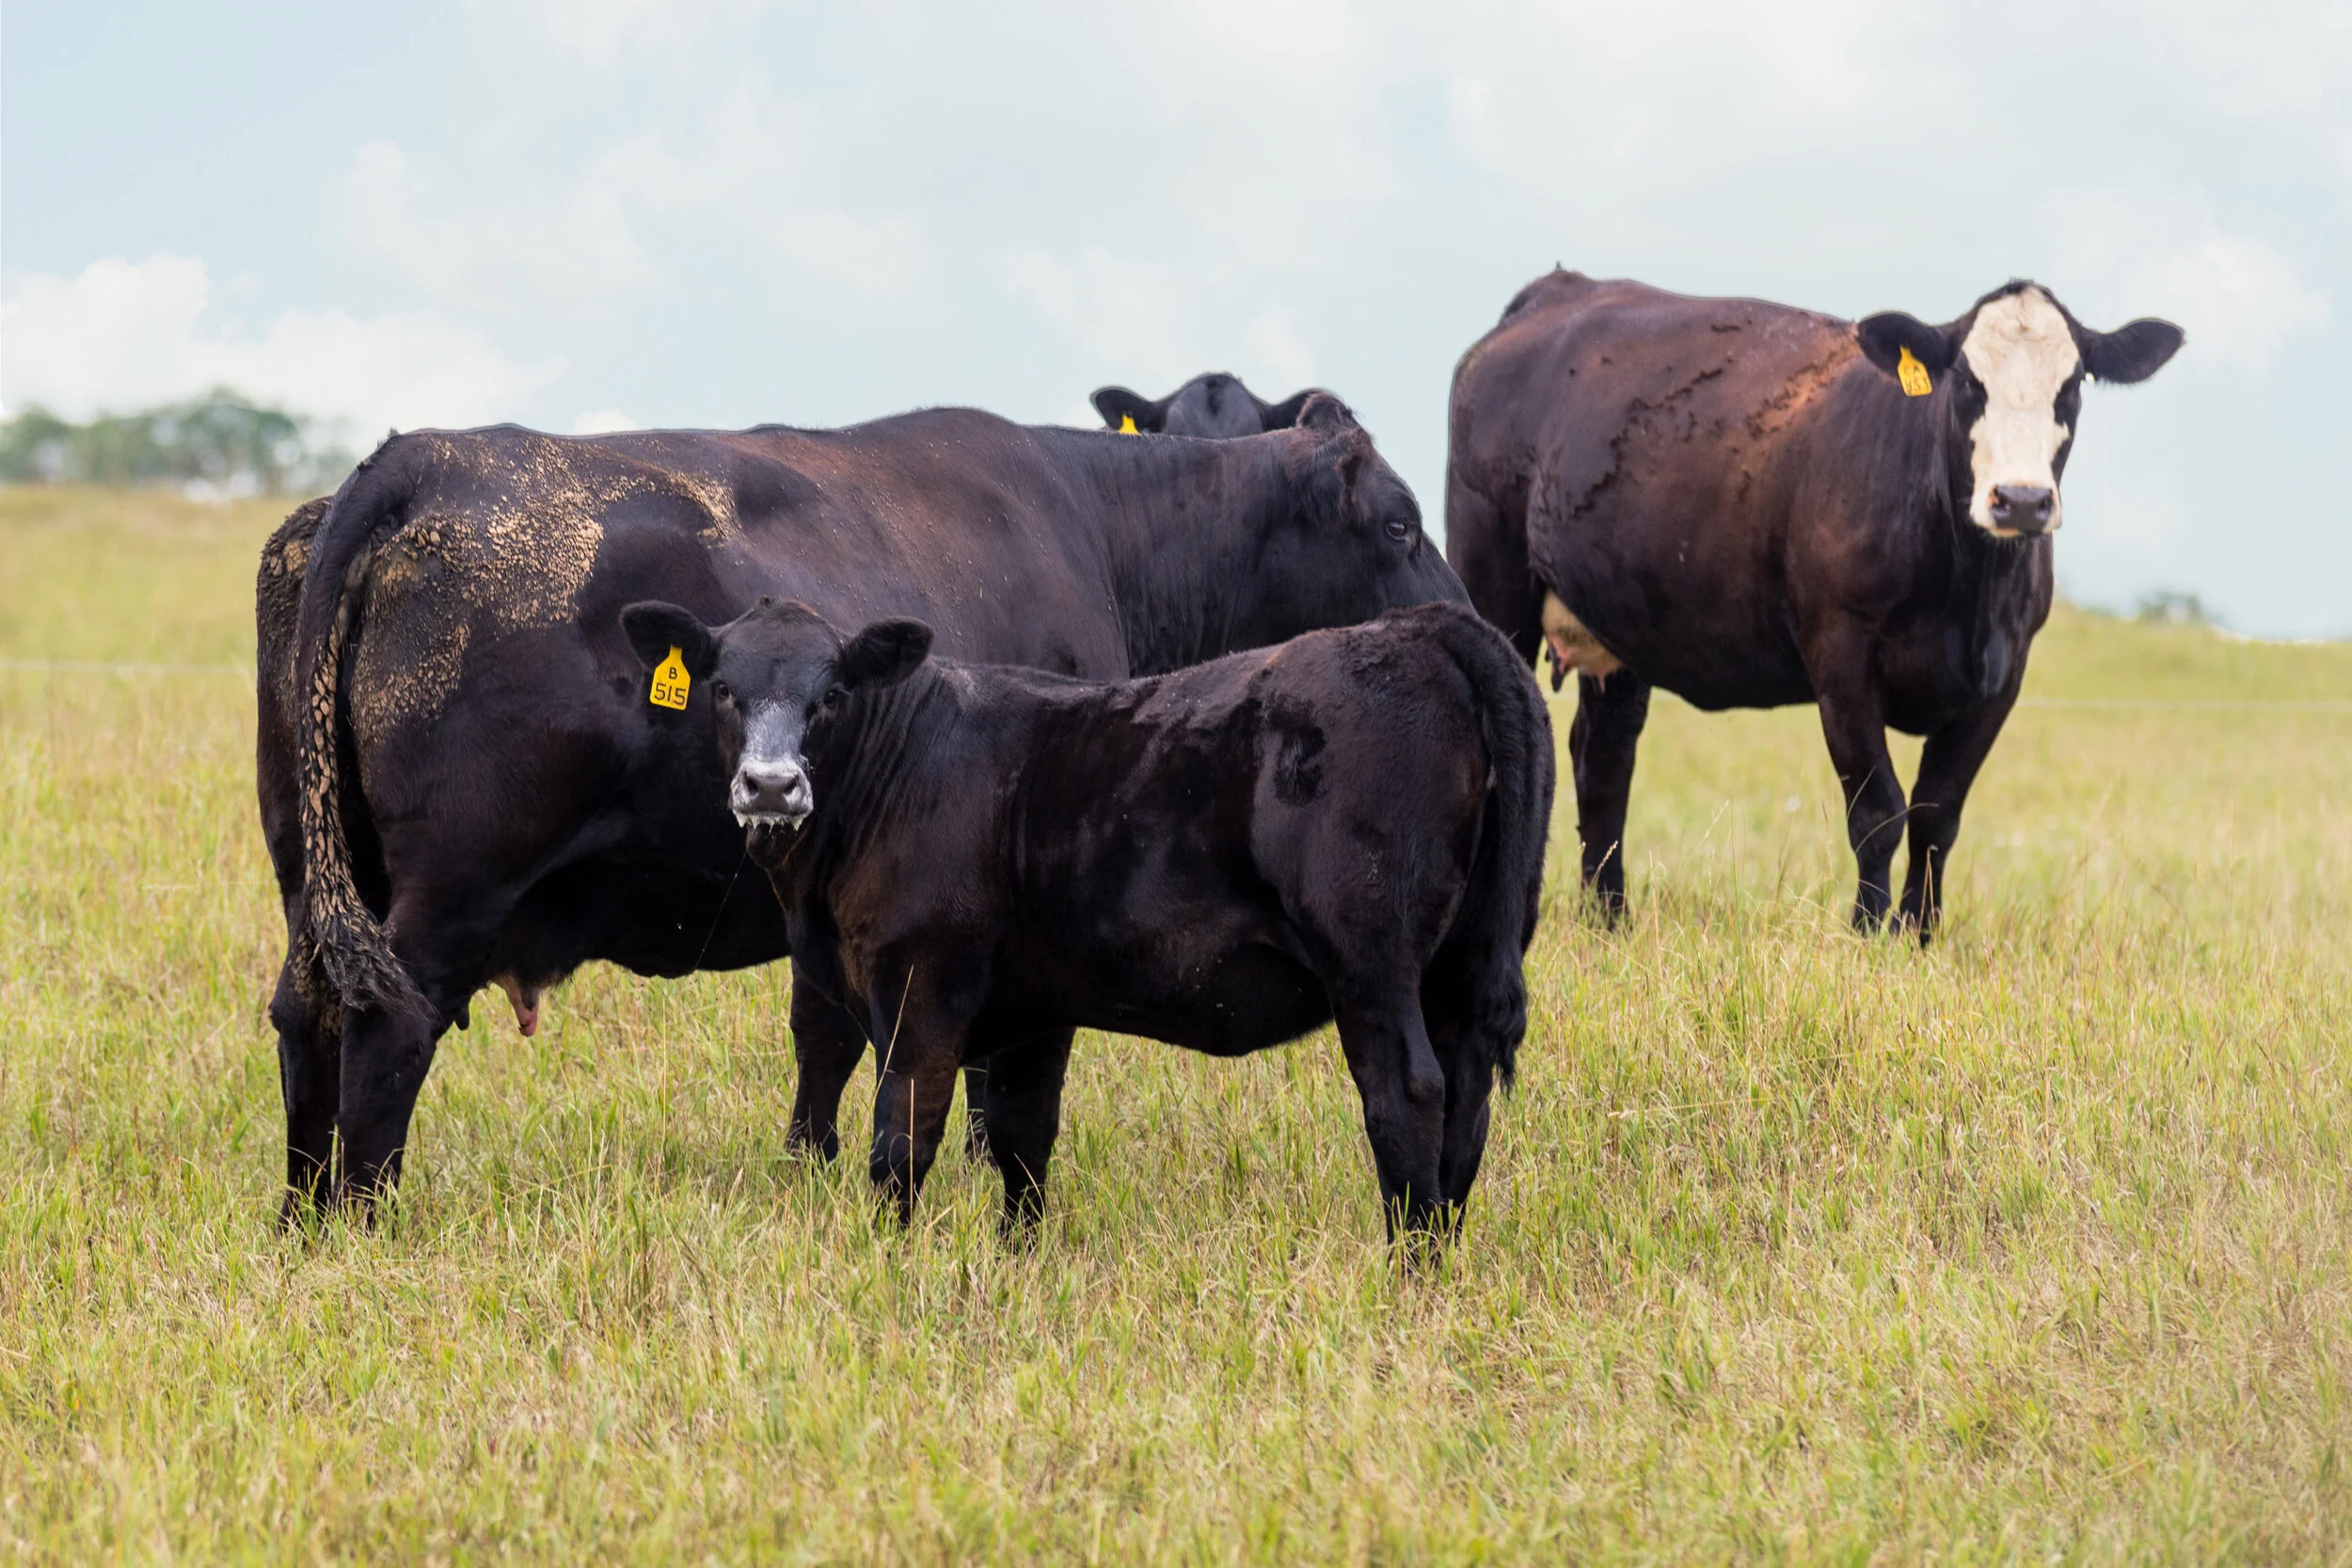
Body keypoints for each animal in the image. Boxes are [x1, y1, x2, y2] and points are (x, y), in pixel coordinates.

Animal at [258, 396, 1468, 1222]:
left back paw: (302, 1219)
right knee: (388, 1022)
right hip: (449, 889)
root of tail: (417, 457)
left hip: (317, 871)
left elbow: (825, 1035)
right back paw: (365, 1219)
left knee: (303, 1012)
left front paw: (809, 1166)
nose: (1470, 618)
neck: (1095, 525)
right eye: (1401, 528)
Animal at [615, 595, 1553, 1248]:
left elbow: (903, 1135)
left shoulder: (920, 985)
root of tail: (1418, 627)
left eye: (832, 693)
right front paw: (1015, 1260)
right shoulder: (1037, 1005)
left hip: (1371, 960)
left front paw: (887, 1261)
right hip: (1459, 966)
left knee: (1407, 1094)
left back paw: (1409, 1269)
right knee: (1466, 1101)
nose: (771, 786)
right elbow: (1022, 1140)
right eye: (724, 688)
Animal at [1447, 271, 2183, 936]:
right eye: (1968, 383)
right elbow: (1879, 810)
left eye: (2073, 385)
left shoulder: (2002, 678)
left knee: (1604, 759)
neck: (1964, 593)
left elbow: (1937, 815)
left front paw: (1920, 935)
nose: (2022, 500)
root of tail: (1560, 290)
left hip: (1622, 621)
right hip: (1494, 582)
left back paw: (1610, 918)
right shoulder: (1842, 657)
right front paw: (1868, 931)